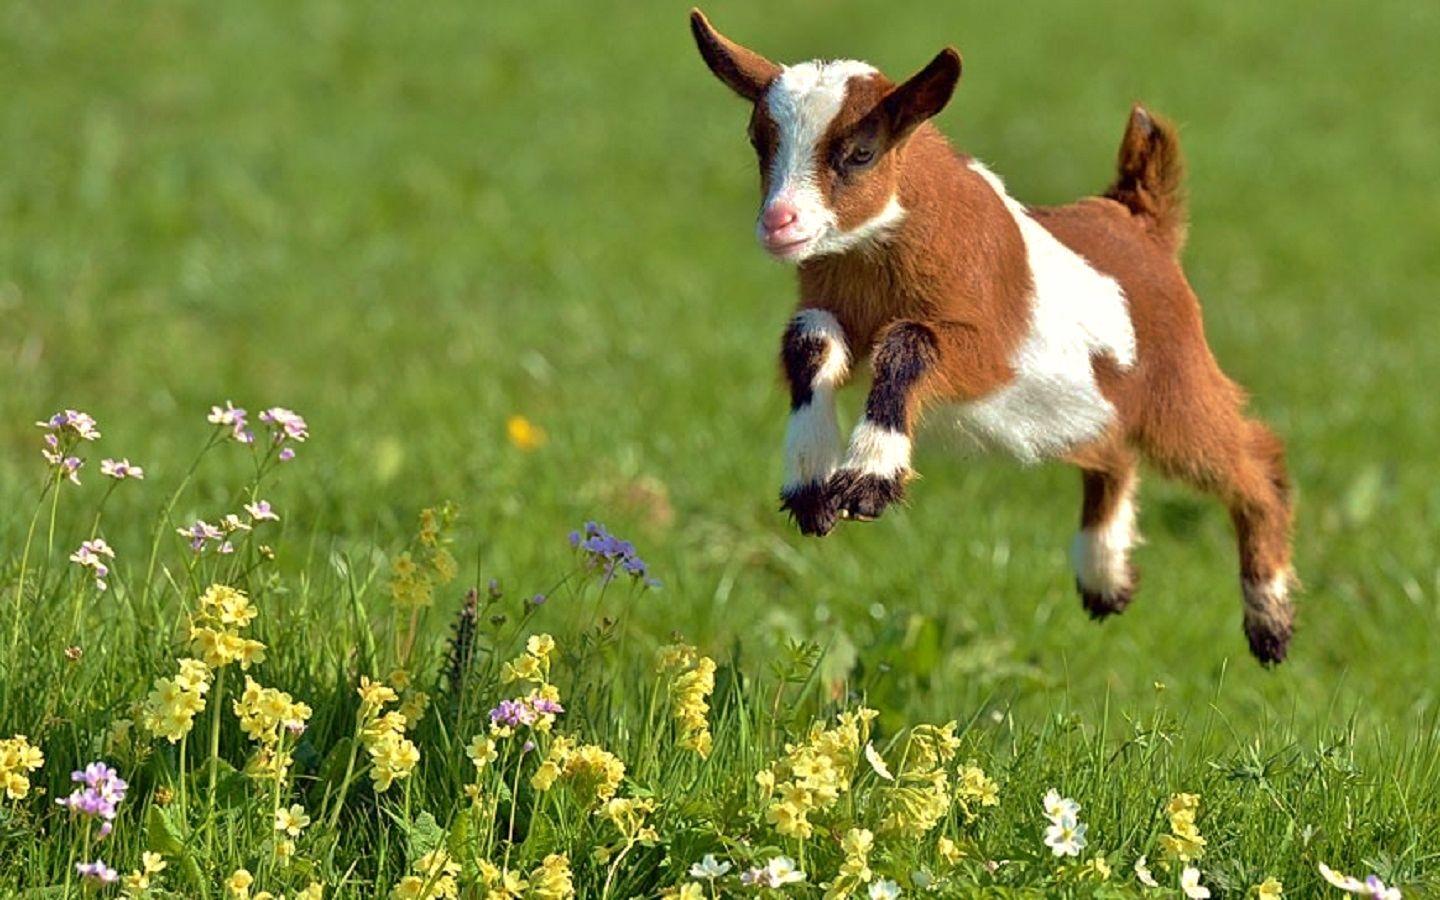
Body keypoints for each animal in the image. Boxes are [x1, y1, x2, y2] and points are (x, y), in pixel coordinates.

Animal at [689, 10, 1296, 664]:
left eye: (860, 153)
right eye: (759, 142)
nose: (779, 223)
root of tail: (1140, 219)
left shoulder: (988, 351)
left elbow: (908, 342)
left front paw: (869, 480)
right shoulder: (832, 306)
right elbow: (809, 341)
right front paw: (810, 486)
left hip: (1174, 384)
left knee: (1255, 459)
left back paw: (1270, 619)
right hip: (1083, 407)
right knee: (1114, 455)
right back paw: (1104, 579)